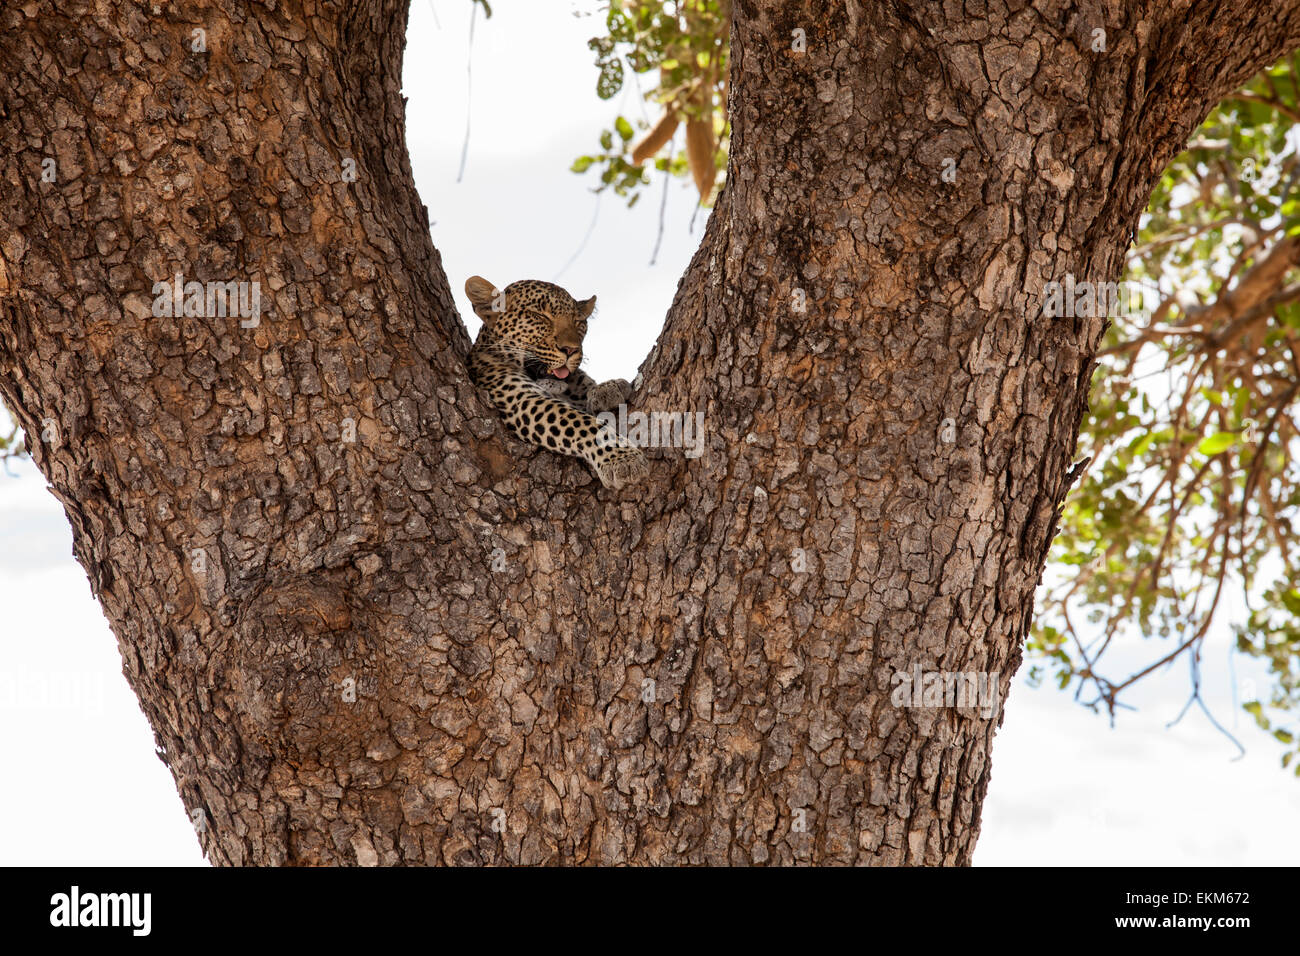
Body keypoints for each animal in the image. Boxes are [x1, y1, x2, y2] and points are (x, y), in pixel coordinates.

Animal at [464, 275, 650, 489]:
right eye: (540, 316)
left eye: (578, 322)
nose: (571, 350)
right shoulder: (523, 400)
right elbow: (579, 422)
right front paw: (622, 459)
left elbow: (583, 386)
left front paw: (607, 389)